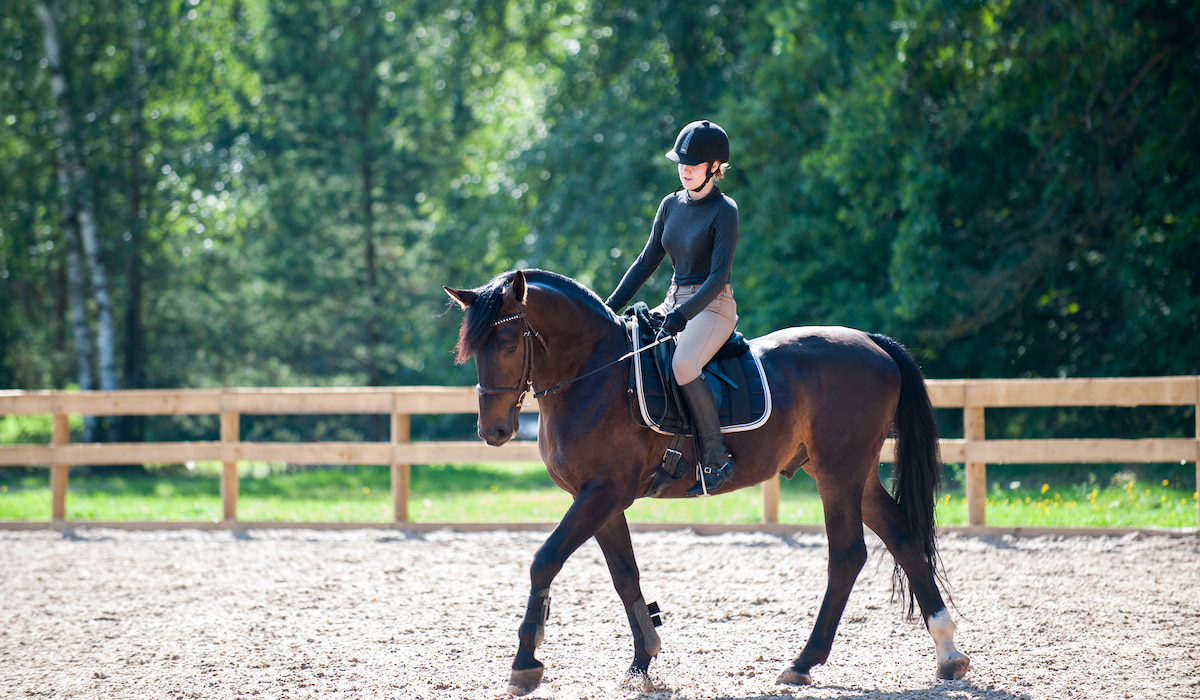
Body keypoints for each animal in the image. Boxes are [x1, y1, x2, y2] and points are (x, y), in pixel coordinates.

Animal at [444, 268, 970, 696]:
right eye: (471, 351)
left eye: (510, 345)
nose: (493, 432)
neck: (594, 375)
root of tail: (872, 342)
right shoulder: (598, 499)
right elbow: (625, 575)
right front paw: (642, 660)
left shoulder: (603, 493)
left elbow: (545, 560)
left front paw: (525, 663)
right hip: (853, 475)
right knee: (903, 538)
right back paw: (948, 654)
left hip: (838, 473)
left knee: (846, 556)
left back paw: (803, 662)